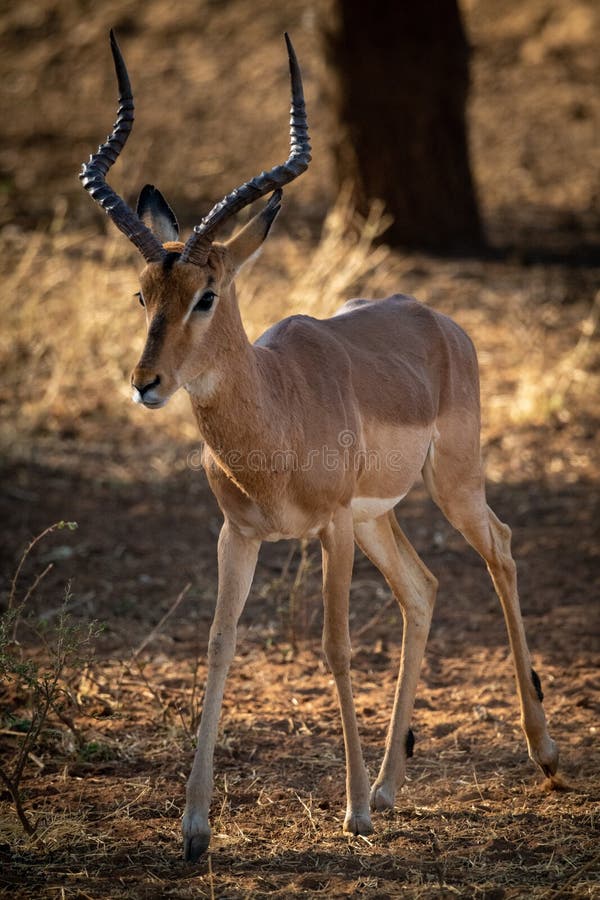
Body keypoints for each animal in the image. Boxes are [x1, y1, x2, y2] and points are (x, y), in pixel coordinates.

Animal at [81, 31, 559, 862]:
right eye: (143, 293)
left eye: (206, 295)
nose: (146, 382)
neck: (277, 411)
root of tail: (436, 318)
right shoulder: (239, 533)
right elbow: (218, 642)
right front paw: (195, 827)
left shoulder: (329, 524)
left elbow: (335, 645)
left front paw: (352, 812)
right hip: (379, 518)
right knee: (422, 589)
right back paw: (392, 787)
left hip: (450, 485)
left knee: (499, 547)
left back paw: (541, 754)